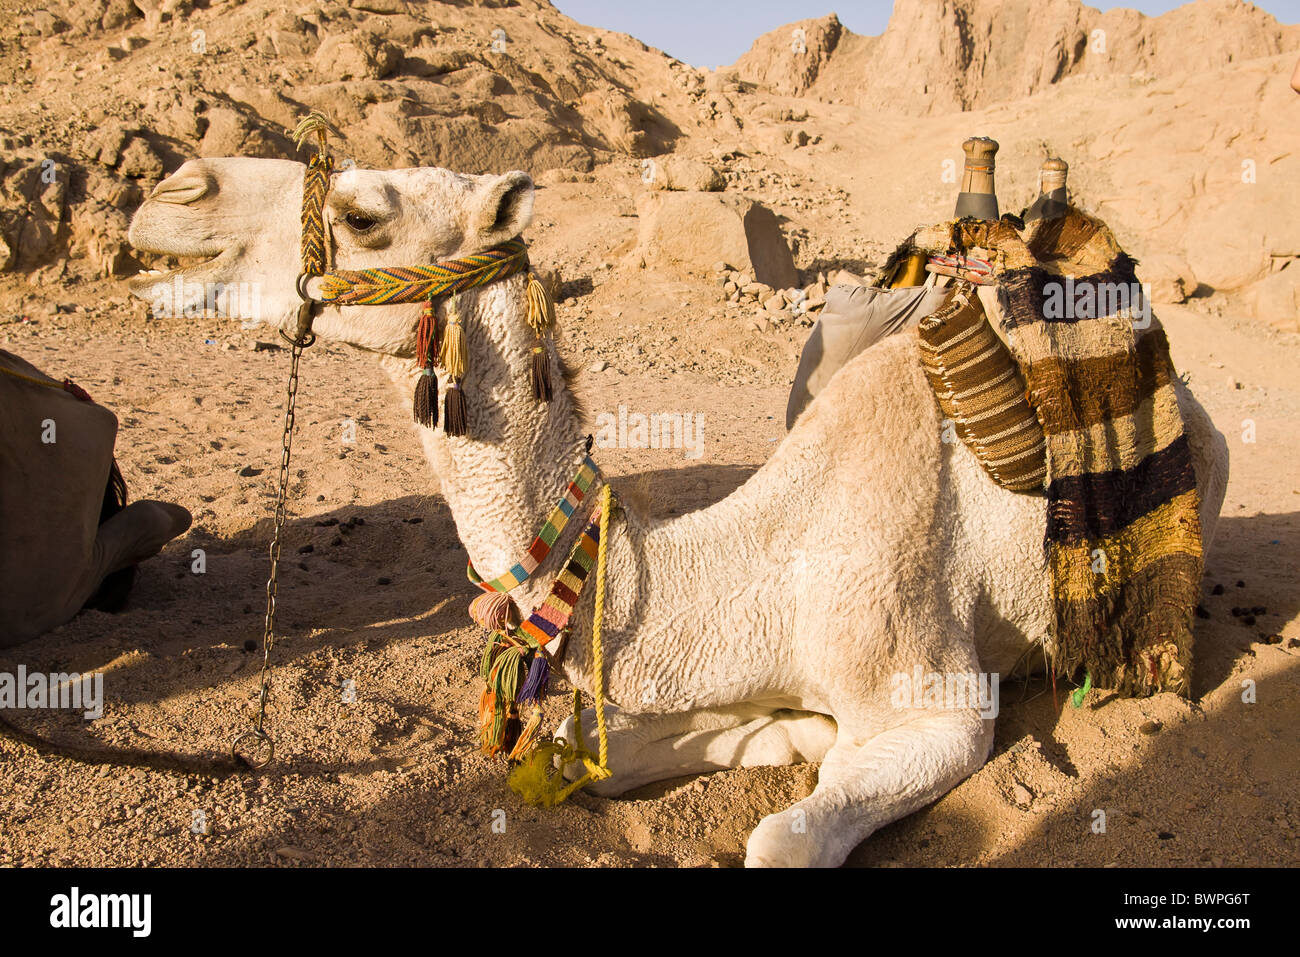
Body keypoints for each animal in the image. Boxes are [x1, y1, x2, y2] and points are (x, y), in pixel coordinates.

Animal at [126, 157, 1229, 867]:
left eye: (359, 213)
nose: (170, 190)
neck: (760, 563)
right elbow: (605, 757)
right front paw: (792, 732)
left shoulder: (936, 698)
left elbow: (783, 840)